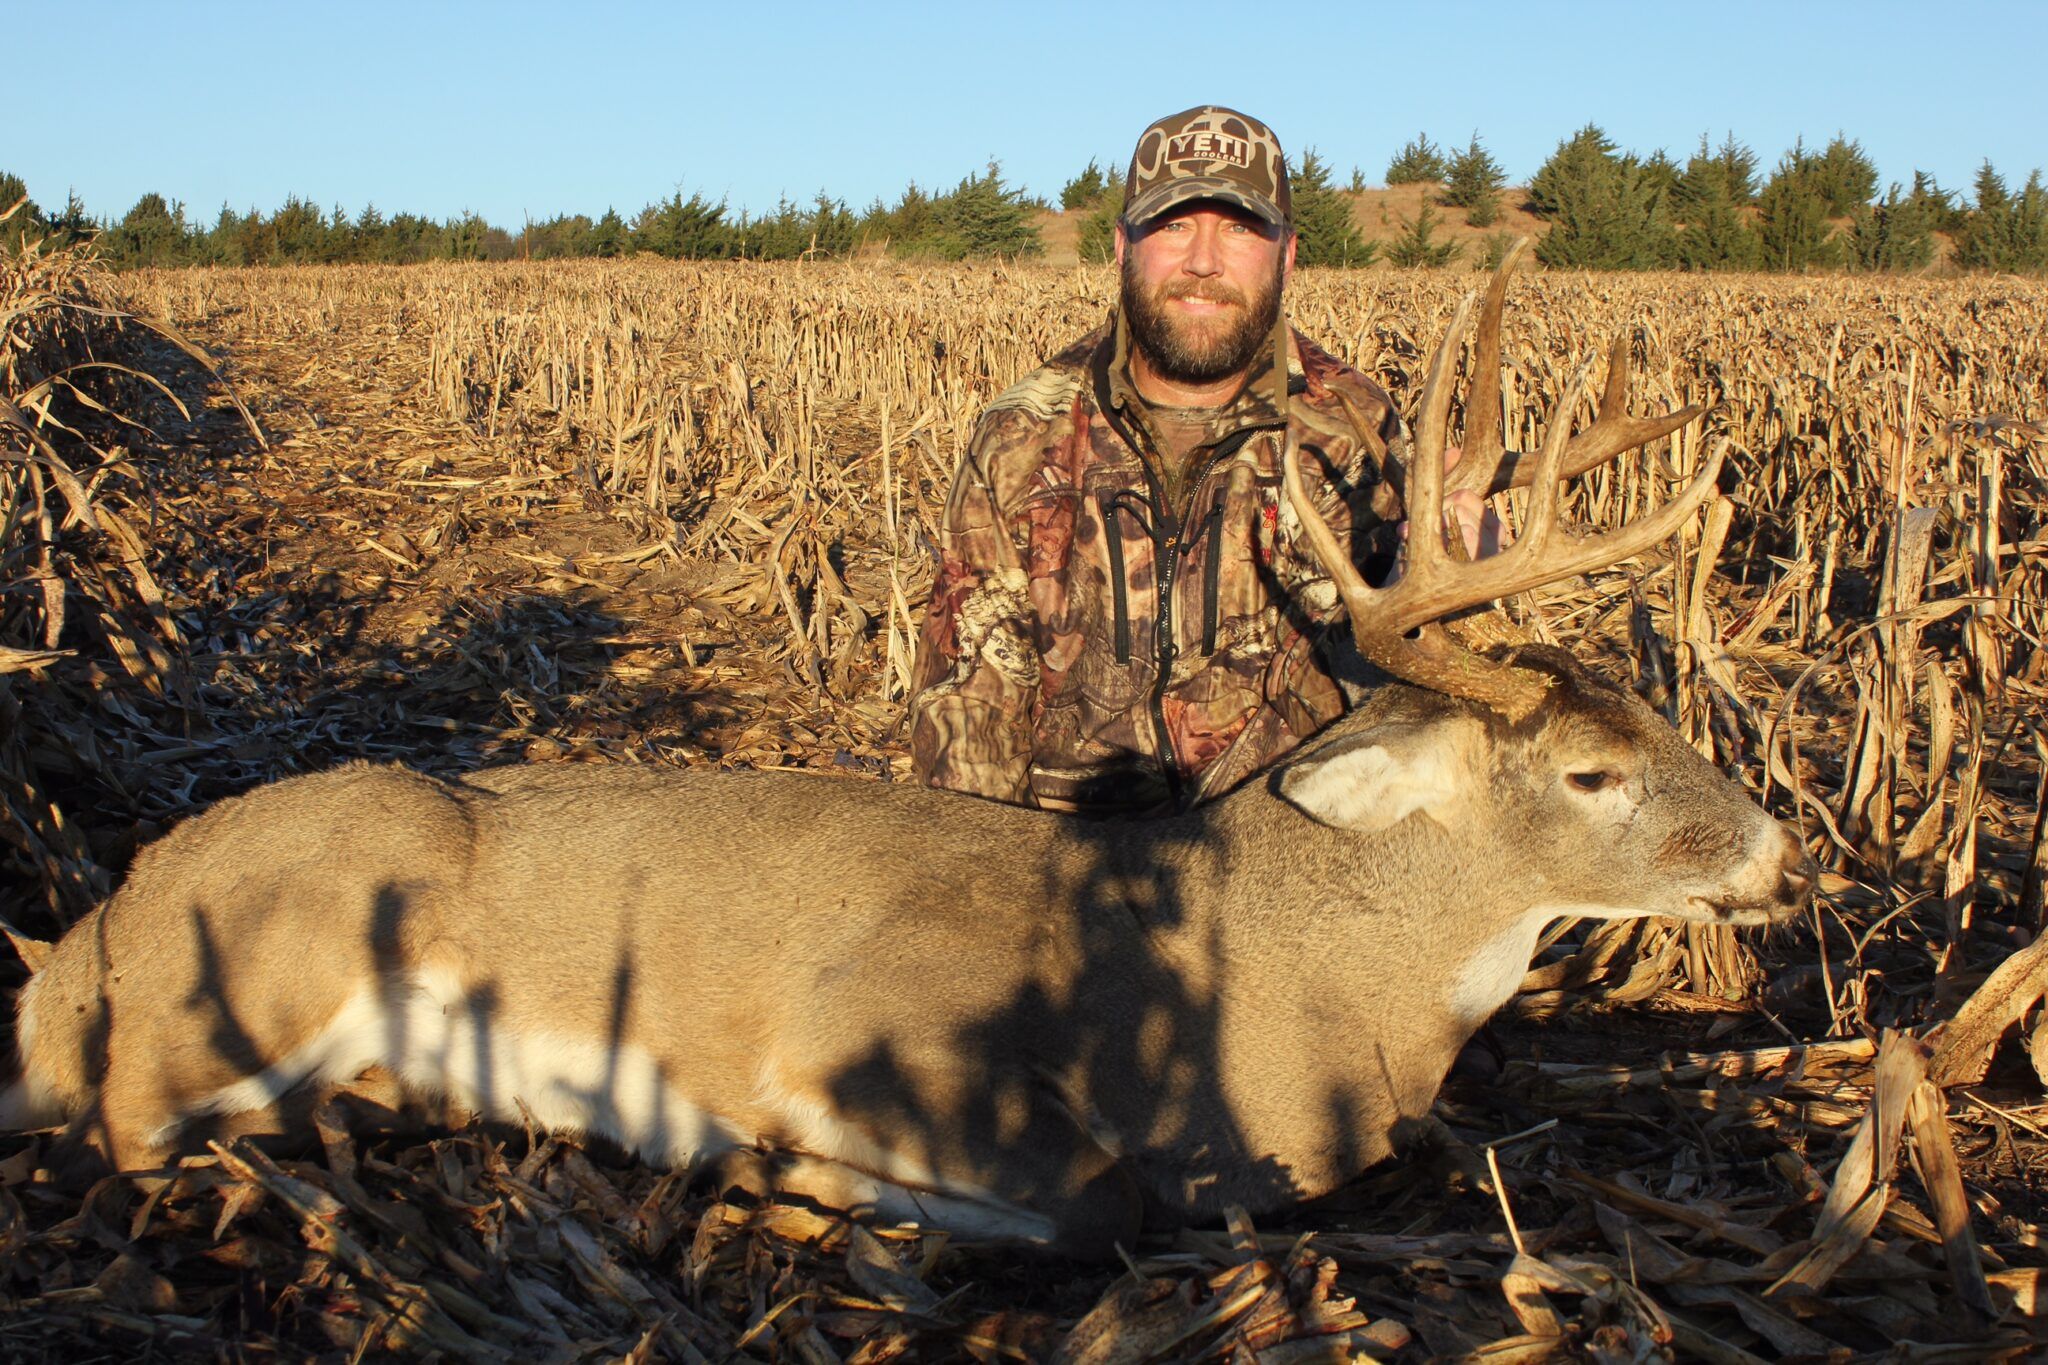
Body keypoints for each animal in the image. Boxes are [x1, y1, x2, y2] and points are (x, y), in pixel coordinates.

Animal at [1, 247, 1817, 1259]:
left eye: (1667, 720)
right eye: (1588, 773)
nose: (1776, 850)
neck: (1279, 986)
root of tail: (79, 944)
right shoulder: (866, 1022)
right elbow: (1098, 1195)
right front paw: (785, 1179)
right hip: (267, 954)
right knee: (126, 1123)